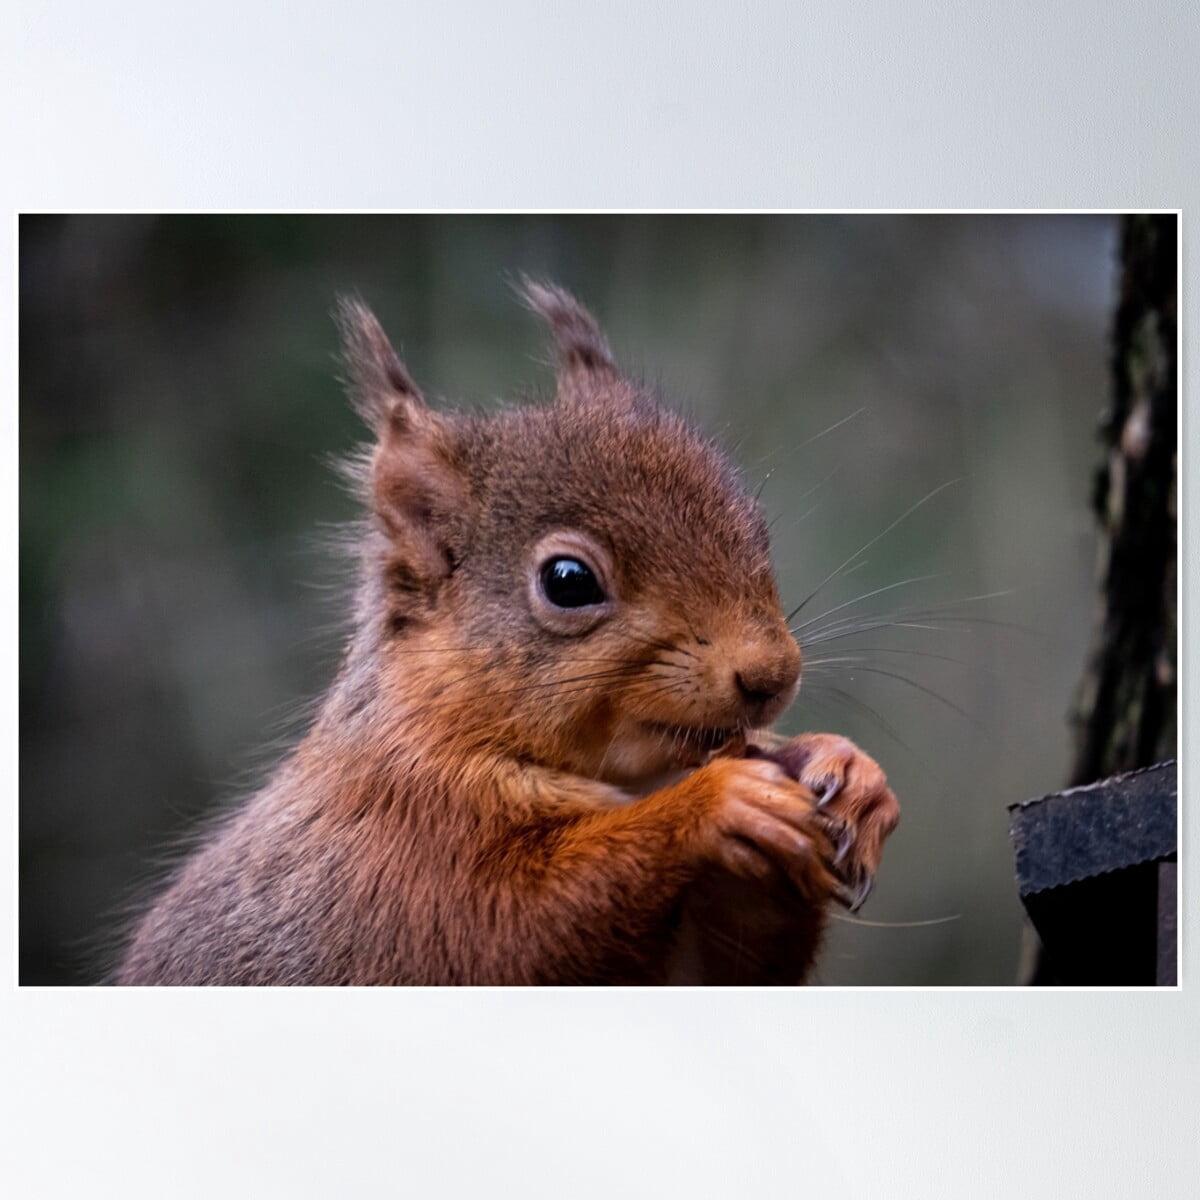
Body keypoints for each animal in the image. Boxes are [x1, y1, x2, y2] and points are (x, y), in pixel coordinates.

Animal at [115, 280, 900, 986]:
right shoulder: (411, 851)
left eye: (757, 527)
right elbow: (506, 926)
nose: (772, 676)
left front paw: (849, 772)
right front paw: (716, 805)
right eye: (568, 581)